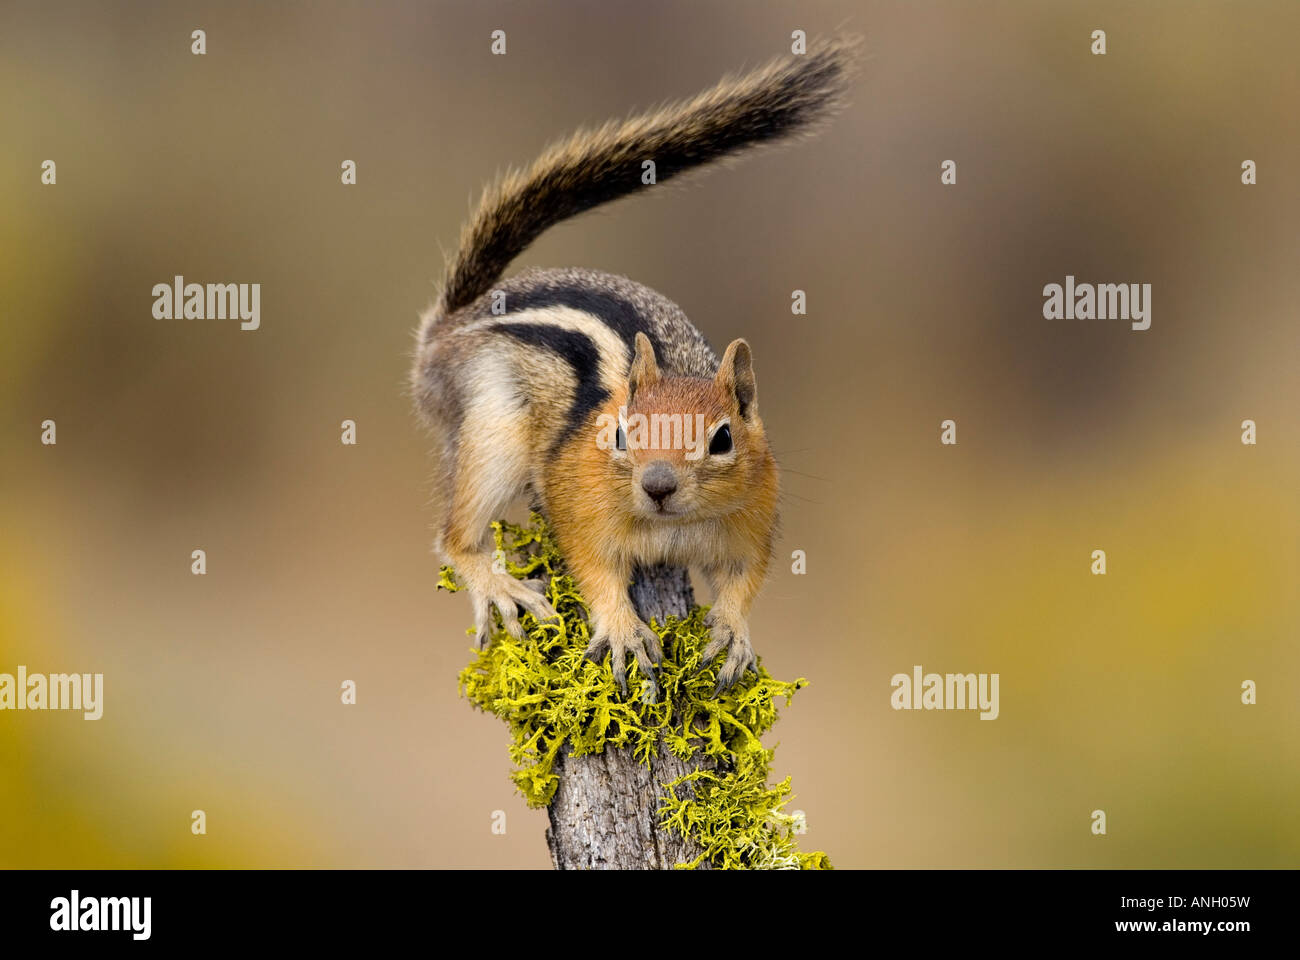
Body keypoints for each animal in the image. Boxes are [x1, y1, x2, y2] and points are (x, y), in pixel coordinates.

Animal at [411, 37, 856, 696]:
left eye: (723, 439)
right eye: (620, 433)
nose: (658, 485)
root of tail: (446, 329)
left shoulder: (753, 520)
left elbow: (744, 581)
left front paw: (732, 632)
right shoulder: (581, 508)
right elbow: (595, 571)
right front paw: (623, 630)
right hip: (493, 433)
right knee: (455, 535)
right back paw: (500, 585)